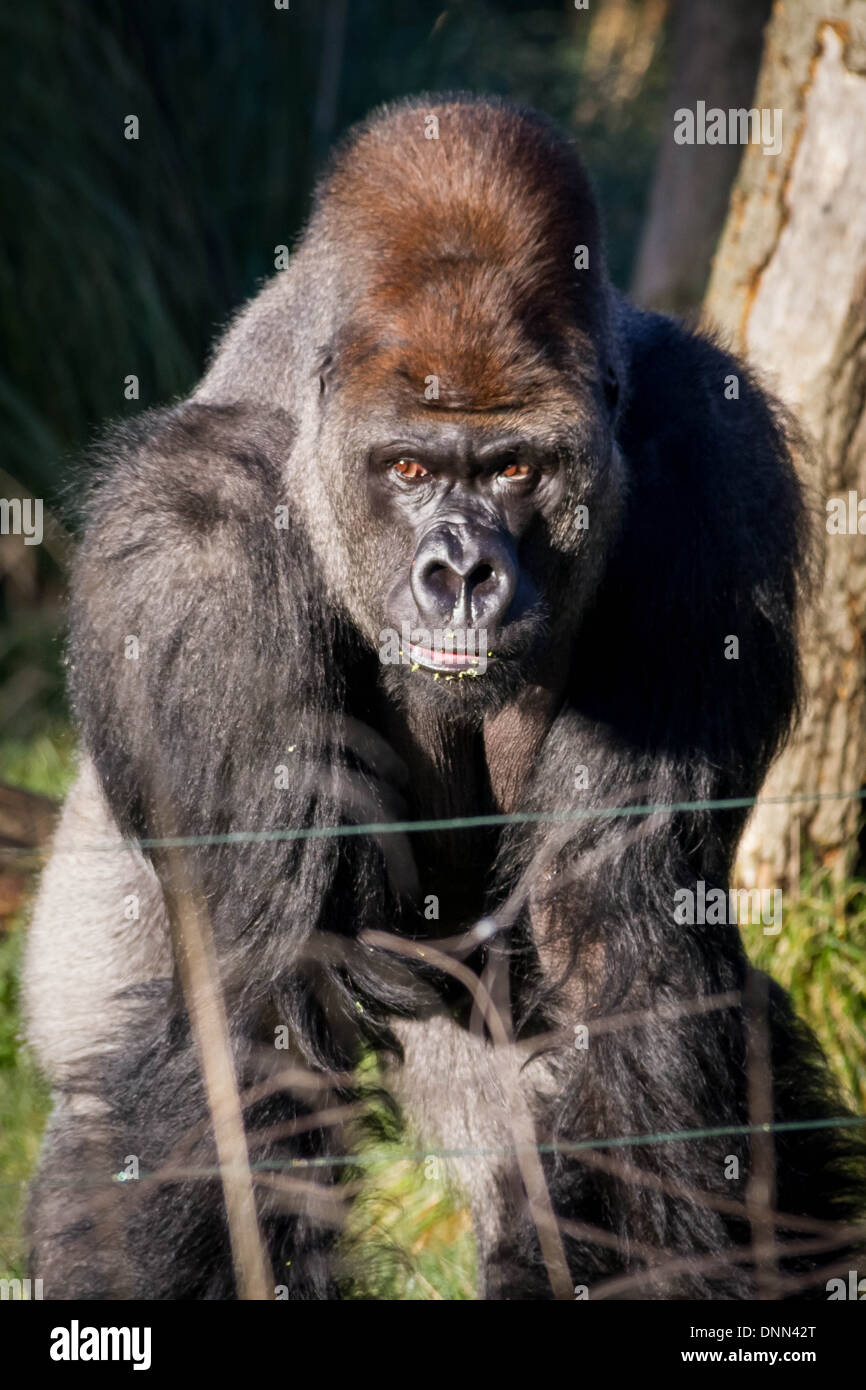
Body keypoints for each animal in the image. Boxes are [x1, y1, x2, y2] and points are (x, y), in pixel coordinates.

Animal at [24, 94, 865, 1300]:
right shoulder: (191, 542)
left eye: (515, 467)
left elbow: (627, 951)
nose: (460, 573)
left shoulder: (718, 472)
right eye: (411, 470)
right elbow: (257, 1009)